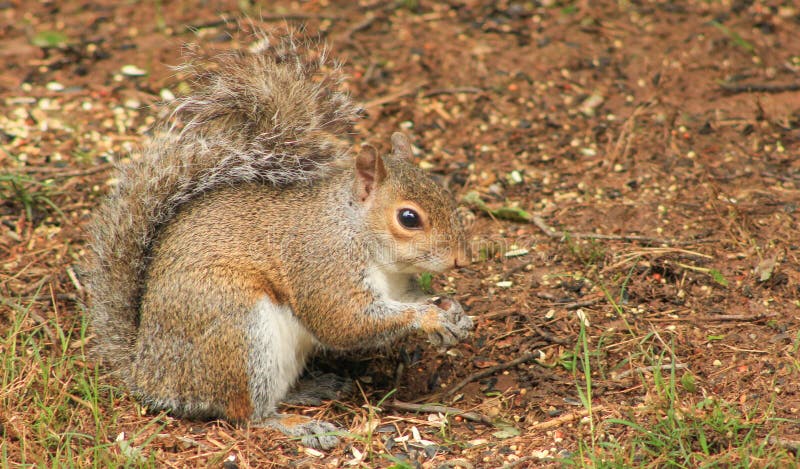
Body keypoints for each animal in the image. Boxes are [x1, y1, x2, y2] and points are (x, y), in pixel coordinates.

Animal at [85, 34, 473, 449]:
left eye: (446, 192)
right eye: (408, 218)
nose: (461, 260)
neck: (359, 234)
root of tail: (148, 369)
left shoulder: (398, 285)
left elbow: (409, 300)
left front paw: (454, 312)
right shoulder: (324, 264)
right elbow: (345, 321)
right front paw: (429, 318)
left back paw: (313, 388)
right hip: (238, 330)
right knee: (247, 414)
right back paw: (297, 425)